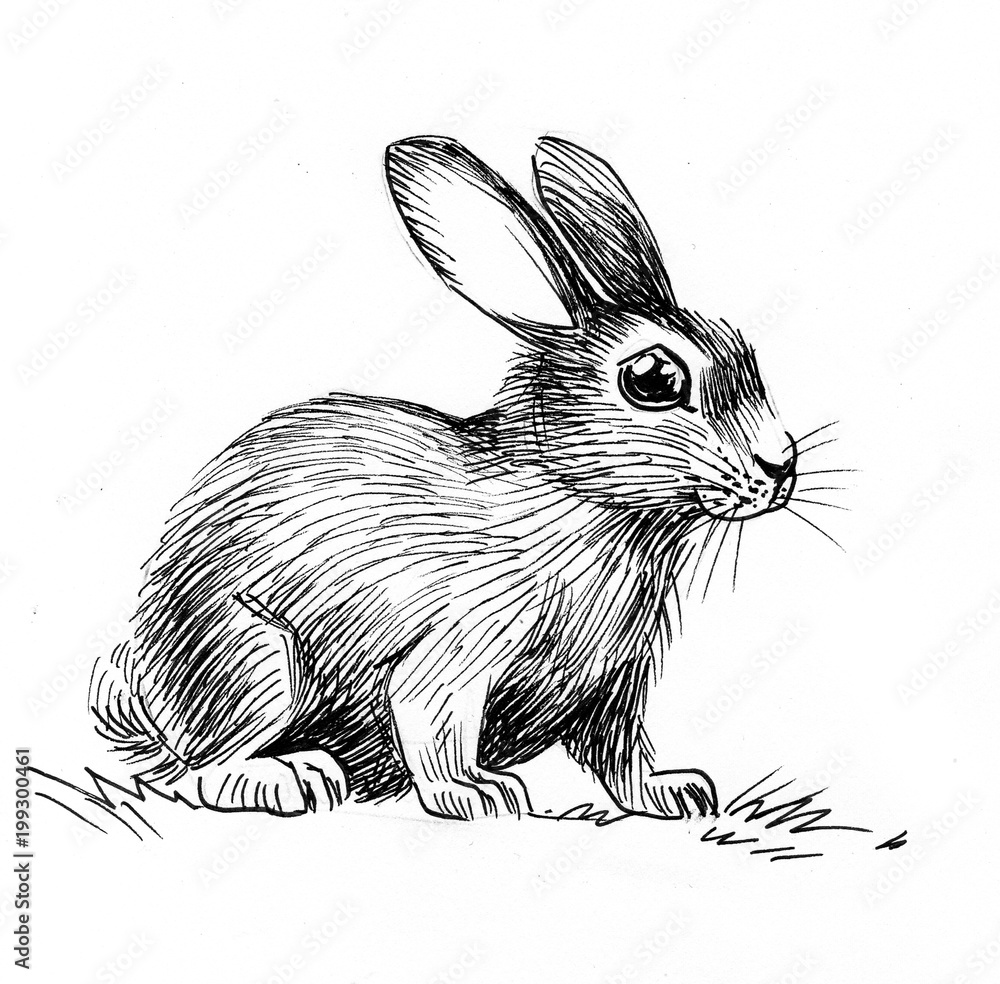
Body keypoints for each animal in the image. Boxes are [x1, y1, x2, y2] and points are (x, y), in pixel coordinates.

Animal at [89, 134, 799, 822]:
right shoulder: (453, 655)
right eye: (653, 379)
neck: (577, 491)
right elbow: (433, 726)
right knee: (200, 769)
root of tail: (148, 699)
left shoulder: (611, 690)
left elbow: (620, 757)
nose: (782, 467)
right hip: (260, 659)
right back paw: (293, 780)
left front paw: (676, 793)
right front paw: (480, 796)